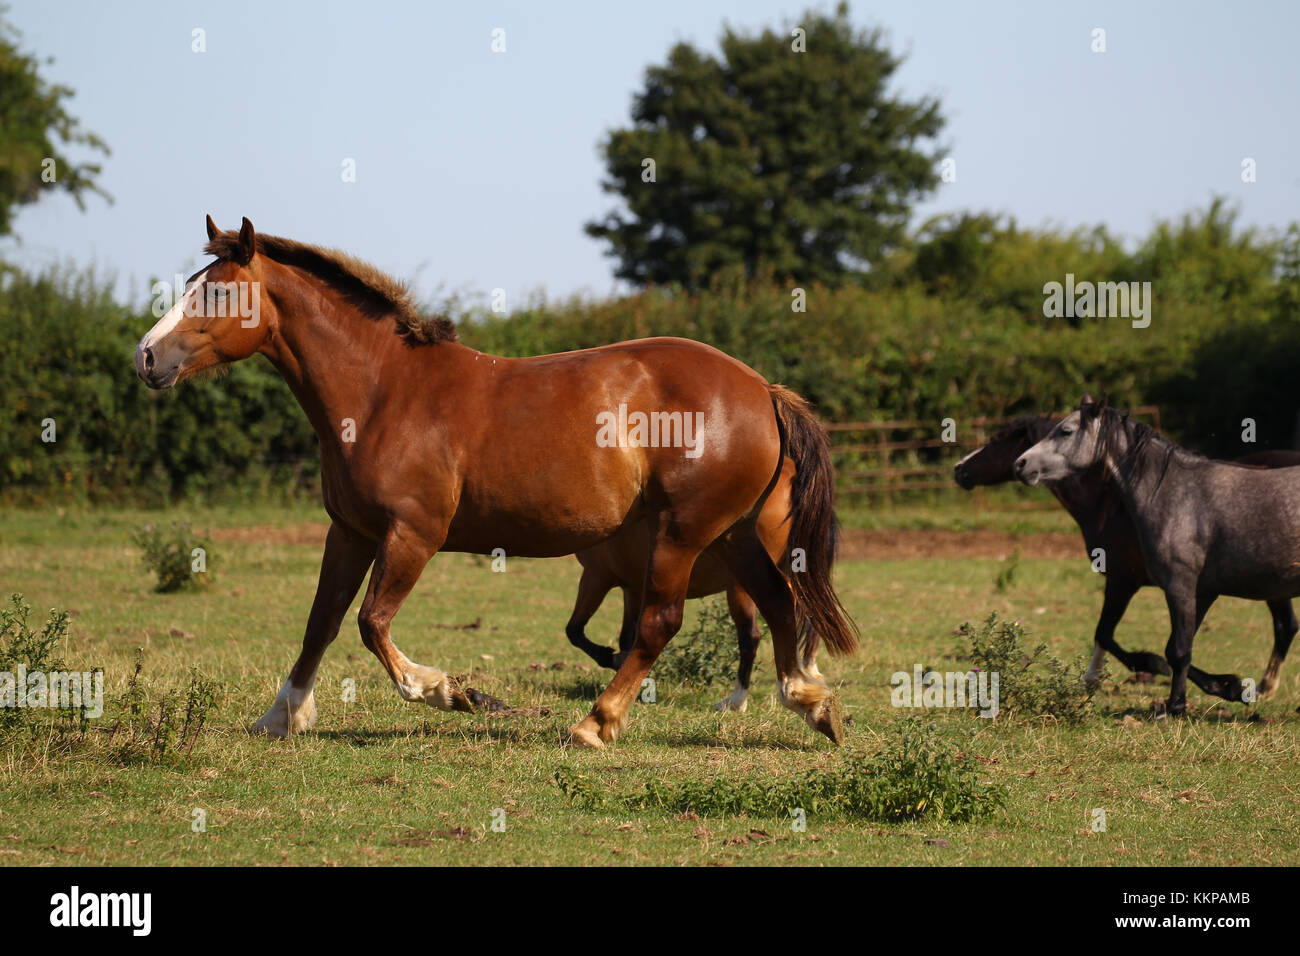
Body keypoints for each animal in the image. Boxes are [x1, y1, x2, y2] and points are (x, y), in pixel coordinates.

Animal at [565, 456, 825, 712]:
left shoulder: (596, 577)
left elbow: (575, 630)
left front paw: (611, 660)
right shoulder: (632, 588)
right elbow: (626, 637)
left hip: (742, 584)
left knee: (752, 634)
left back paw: (737, 700)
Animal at [954, 409, 1300, 691]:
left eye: (996, 440)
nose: (959, 469)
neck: (1112, 505)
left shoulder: (1123, 579)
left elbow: (1106, 633)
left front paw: (1148, 667)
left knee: (1285, 626)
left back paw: (1264, 688)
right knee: (1286, 627)